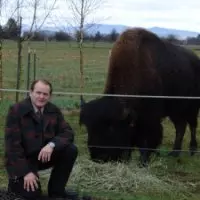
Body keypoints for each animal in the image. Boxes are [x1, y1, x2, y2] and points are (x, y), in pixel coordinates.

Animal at [79, 28, 200, 166]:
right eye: (88, 128)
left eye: (110, 128)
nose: (98, 158)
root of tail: (196, 61)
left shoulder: (149, 117)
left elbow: (146, 141)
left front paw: (143, 161)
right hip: (175, 110)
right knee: (181, 126)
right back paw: (174, 153)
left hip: (192, 107)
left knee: (192, 126)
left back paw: (192, 150)